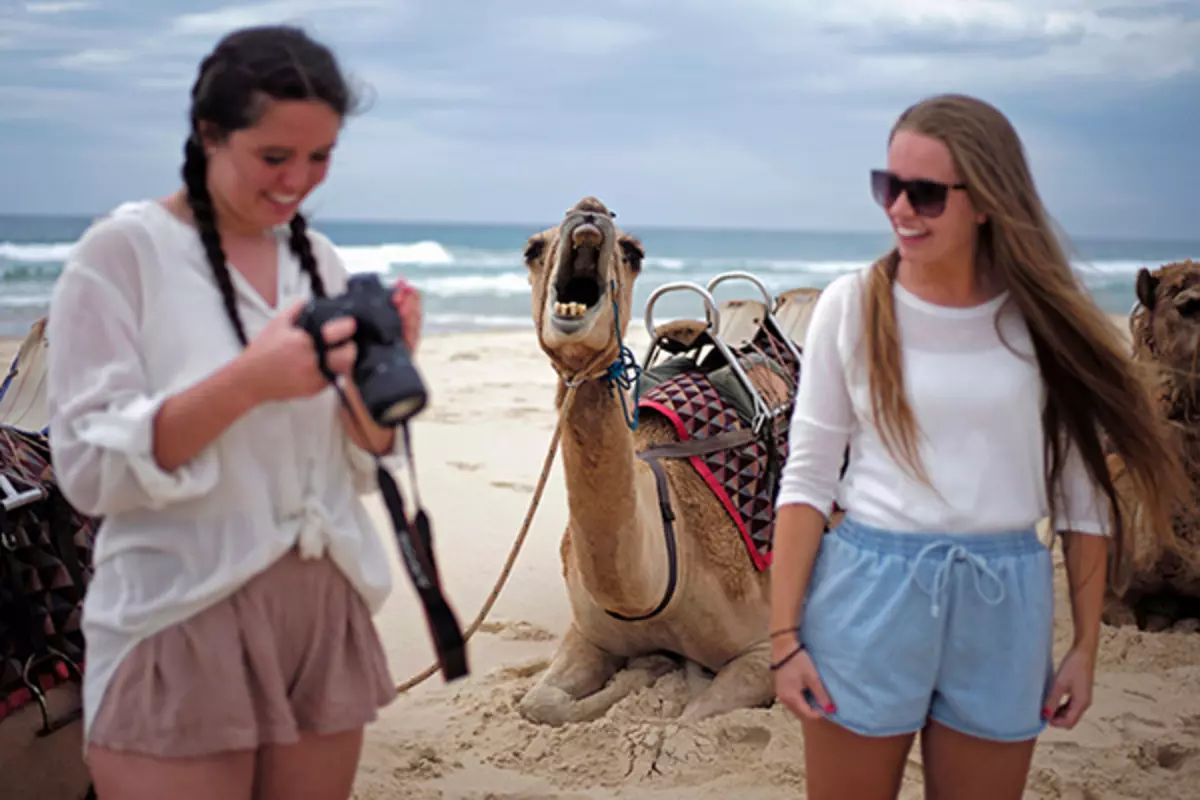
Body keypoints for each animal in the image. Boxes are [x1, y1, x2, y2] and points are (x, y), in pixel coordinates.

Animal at [516, 196, 816, 729]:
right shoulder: (587, 632)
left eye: (634, 252)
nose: (588, 211)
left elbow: (686, 717)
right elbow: (539, 702)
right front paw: (649, 665)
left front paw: (657, 672)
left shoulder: (763, 650)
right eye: (532, 248)